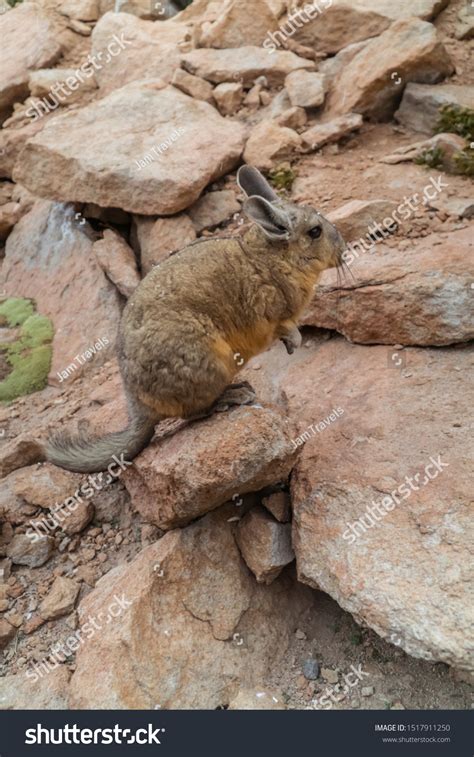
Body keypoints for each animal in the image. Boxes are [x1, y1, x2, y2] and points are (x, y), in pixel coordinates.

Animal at [44, 165, 346, 472]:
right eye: (315, 231)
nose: (343, 250)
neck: (274, 258)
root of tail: (141, 410)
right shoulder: (272, 310)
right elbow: (288, 328)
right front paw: (294, 344)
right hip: (209, 359)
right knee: (193, 413)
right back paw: (236, 394)